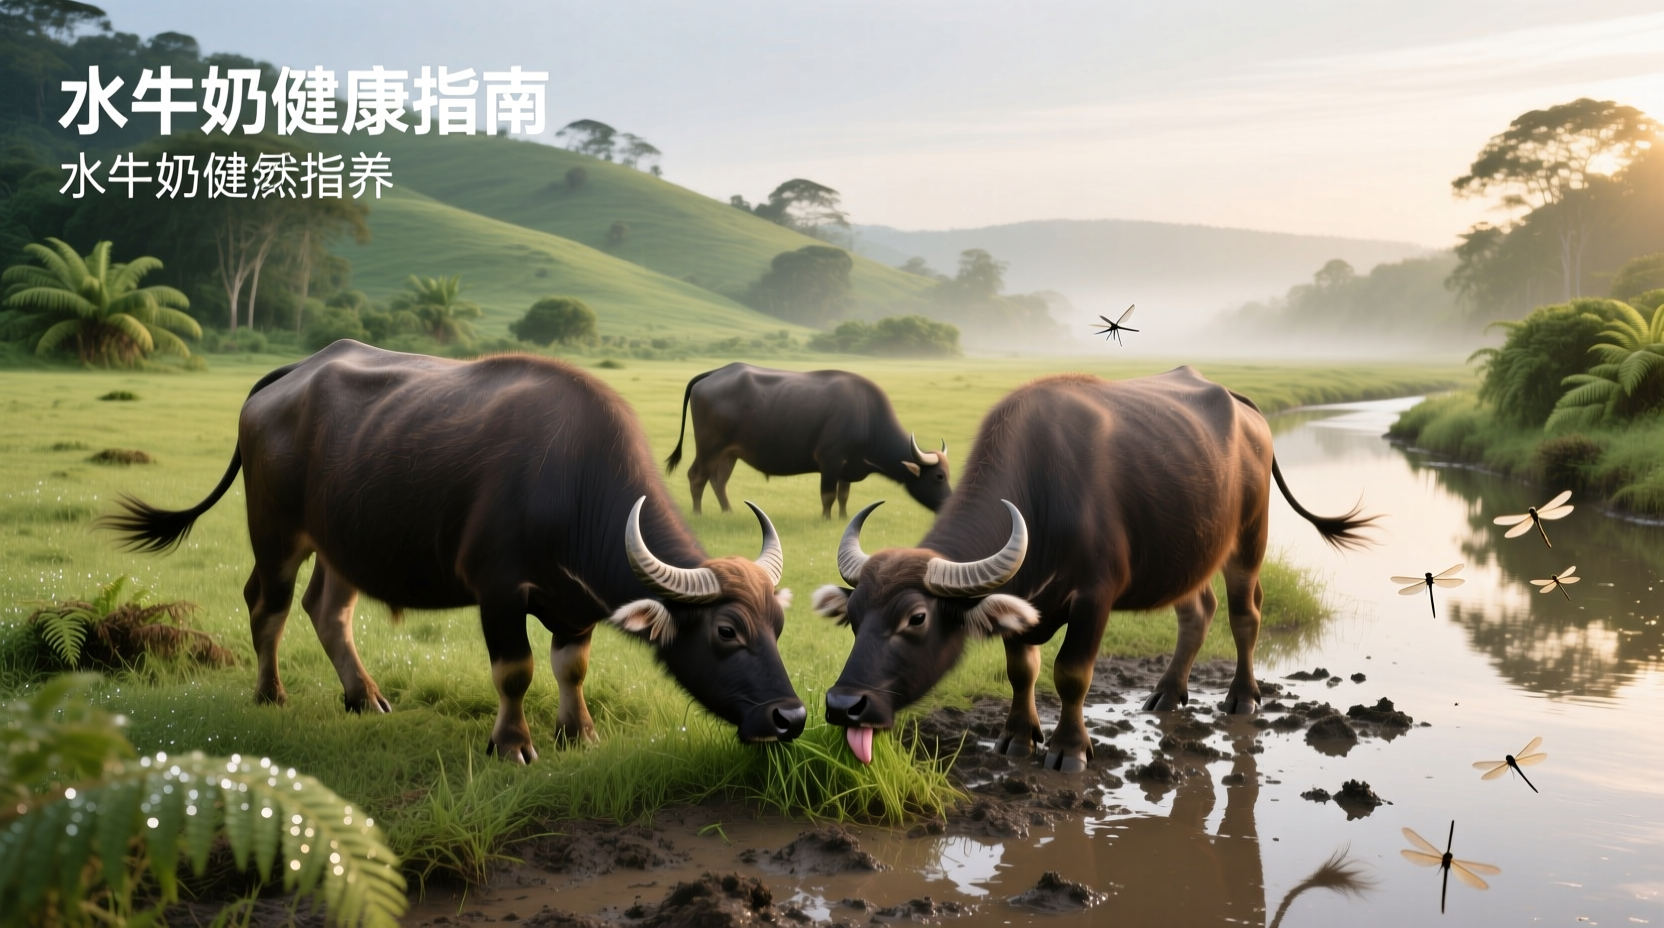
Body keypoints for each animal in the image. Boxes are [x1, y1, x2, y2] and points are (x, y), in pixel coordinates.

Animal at [102, 341, 806, 761]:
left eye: (778, 625)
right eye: (725, 630)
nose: (791, 717)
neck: (574, 484)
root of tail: (290, 375)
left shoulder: (575, 603)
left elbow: (571, 668)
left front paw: (577, 732)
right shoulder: (497, 591)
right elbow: (515, 671)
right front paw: (513, 744)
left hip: (345, 541)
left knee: (326, 609)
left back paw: (364, 696)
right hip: (275, 530)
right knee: (266, 605)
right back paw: (271, 694)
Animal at [664, 362, 951, 519]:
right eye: (939, 476)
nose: (948, 504)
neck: (868, 417)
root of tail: (714, 373)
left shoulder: (848, 467)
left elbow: (844, 495)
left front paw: (843, 517)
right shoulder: (830, 461)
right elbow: (828, 495)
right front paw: (826, 519)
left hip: (729, 452)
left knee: (718, 480)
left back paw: (728, 512)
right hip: (709, 446)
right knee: (697, 476)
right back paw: (698, 513)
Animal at [812, 367, 1374, 771]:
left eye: (917, 619)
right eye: (853, 618)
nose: (843, 704)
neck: (1041, 495)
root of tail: (1243, 405)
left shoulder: (1095, 597)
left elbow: (1071, 673)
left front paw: (1068, 749)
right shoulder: (1022, 599)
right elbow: (1022, 670)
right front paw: (1018, 736)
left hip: (1250, 537)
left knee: (1245, 614)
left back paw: (1242, 697)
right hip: (1183, 552)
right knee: (1197, 612)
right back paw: (1167, 693)